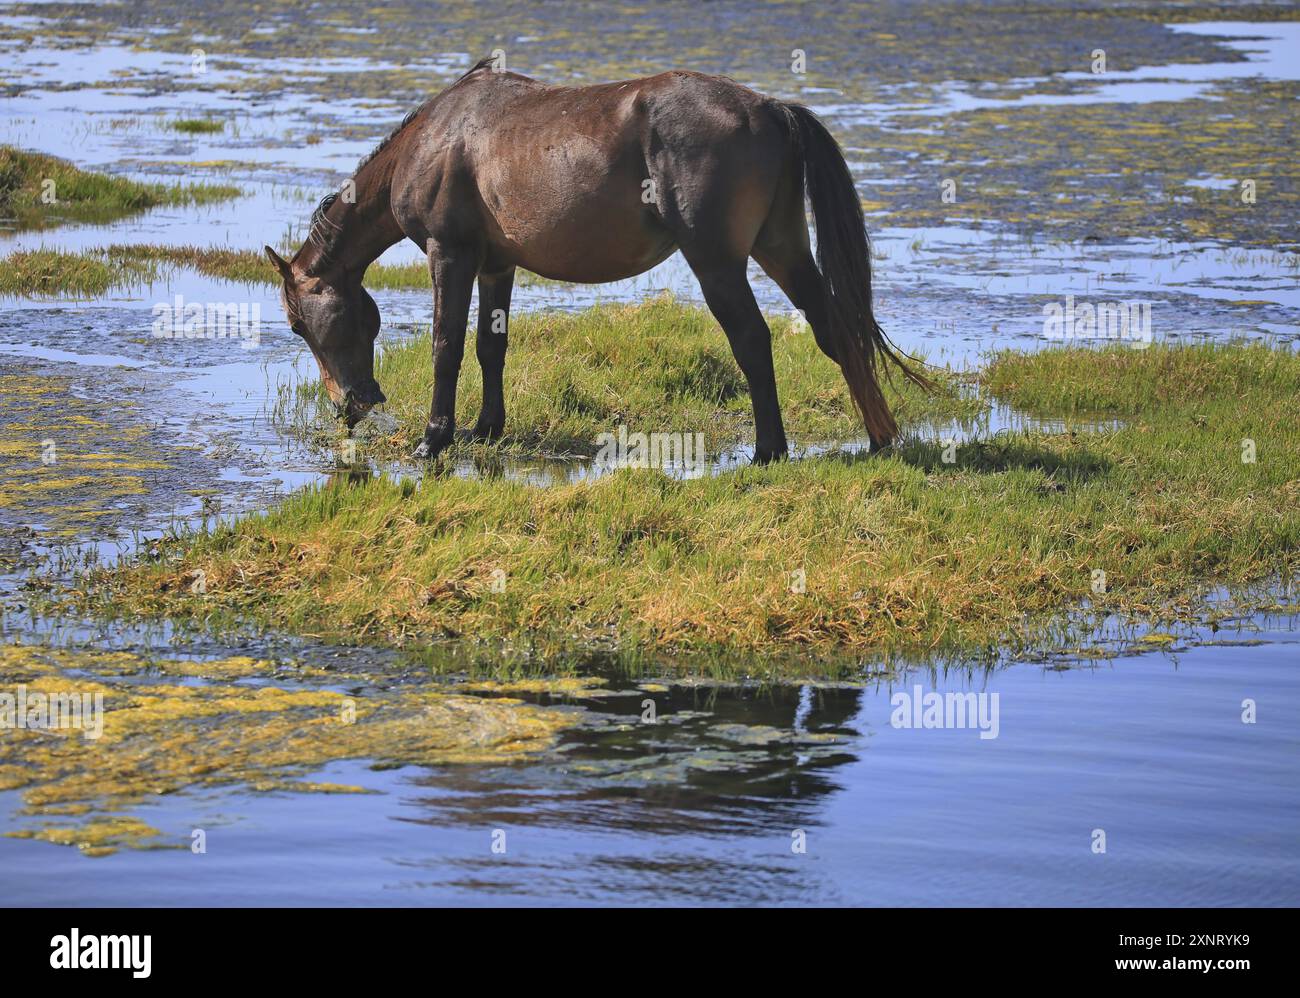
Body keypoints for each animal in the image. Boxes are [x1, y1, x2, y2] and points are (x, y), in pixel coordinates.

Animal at [264, 57, 926, 463]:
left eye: (299, 325)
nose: (350, 405)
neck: (437, 137)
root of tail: (769, 108)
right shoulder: (495, 264)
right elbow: (489, 346)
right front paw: (486, 428)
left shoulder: (448, 254)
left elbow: (446, 345)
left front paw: (435, 440)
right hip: (782, 246)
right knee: (834, 328)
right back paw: (880, 439)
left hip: (716, 260)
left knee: (752, 340)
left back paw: (769, 451)